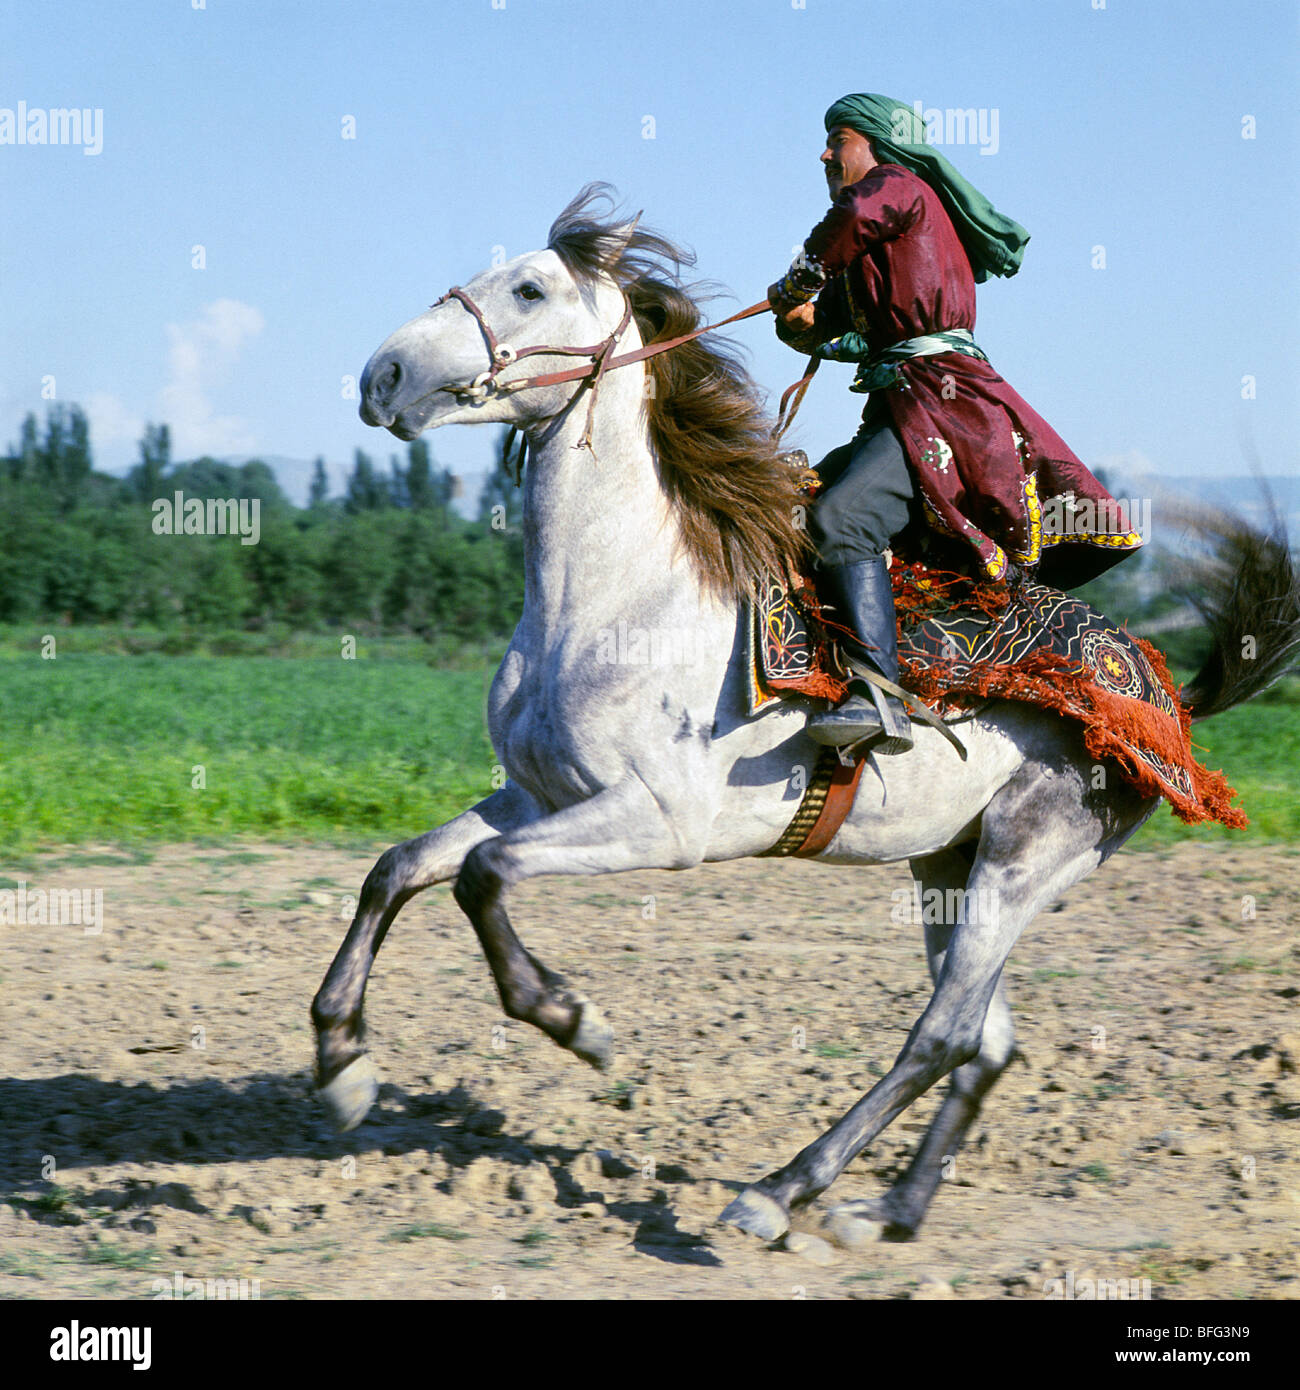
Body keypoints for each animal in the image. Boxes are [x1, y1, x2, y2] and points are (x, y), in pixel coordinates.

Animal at [312, 184, 1298, 1243]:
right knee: (988, 1043)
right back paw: (889, 1211)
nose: (382, 375)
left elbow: (482, 878)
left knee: (943, 1034)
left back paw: (780, 1192)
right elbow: (399, 868)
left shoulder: (659, 823)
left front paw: (580, 1024)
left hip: (1026, 863)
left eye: (530, 287)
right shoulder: (536, 796)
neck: (617, 599)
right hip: (948, 866)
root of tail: (1164, 703)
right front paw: (341, 1065)